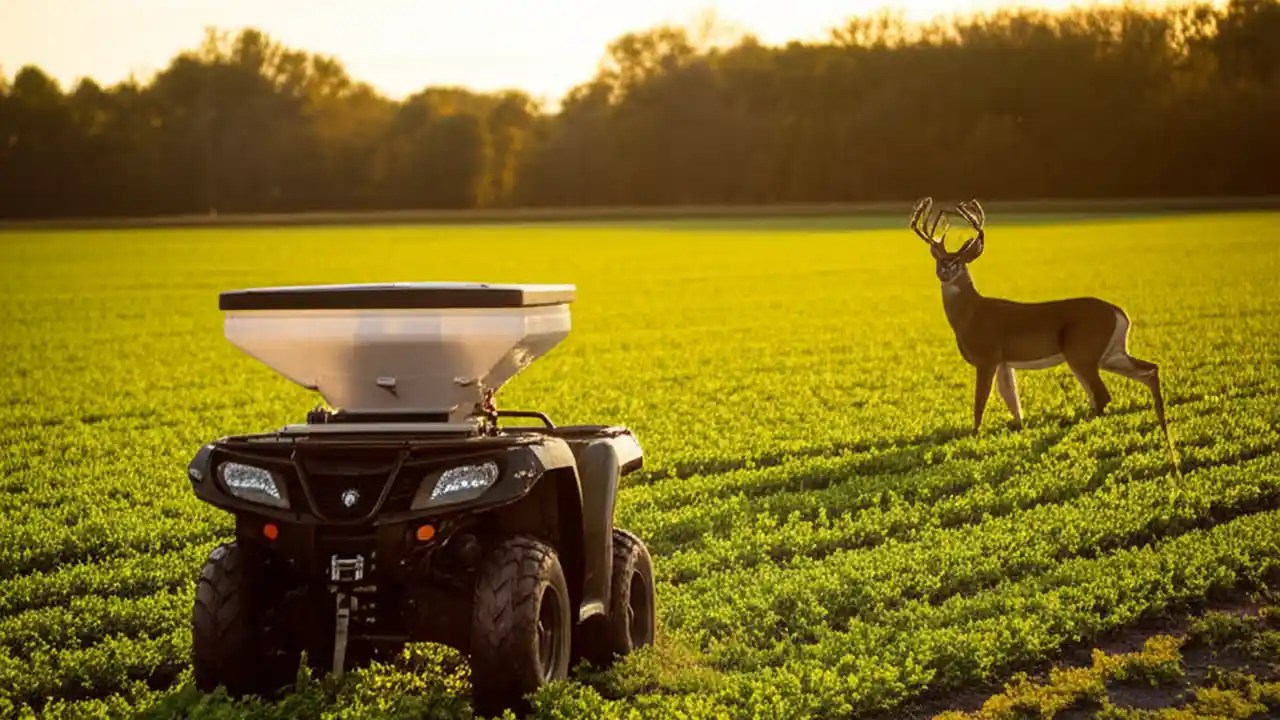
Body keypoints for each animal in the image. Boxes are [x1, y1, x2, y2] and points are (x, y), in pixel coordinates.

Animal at [908, 197, 1174, 457]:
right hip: (1111, 353)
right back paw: (1166, 439)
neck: (971, 315)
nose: (944, 273)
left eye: (958, 263)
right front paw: (1018, 431)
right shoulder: (1004, 361)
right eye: (939, 260)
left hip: (1082, 351)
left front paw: (974, 436)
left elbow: (980, 401)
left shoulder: (988, 356)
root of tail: (1121, 314)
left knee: (1102, 395)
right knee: (1150, 370)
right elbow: (1013, 402)